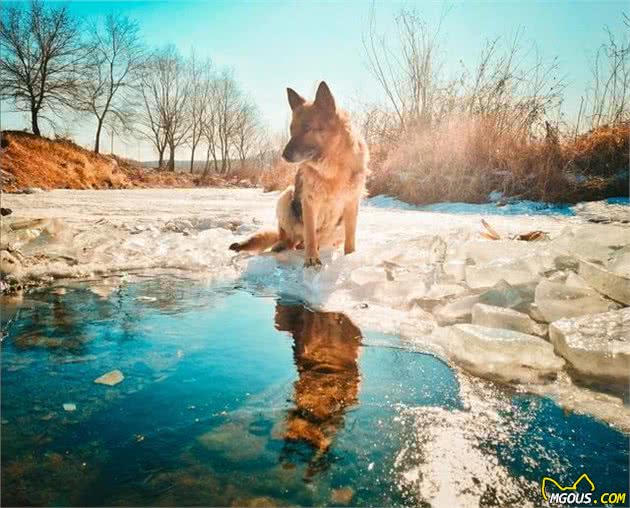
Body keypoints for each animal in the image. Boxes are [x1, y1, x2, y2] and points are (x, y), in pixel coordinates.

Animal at [230, 81, 370, 268]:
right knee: (290, 238)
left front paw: (350, 257)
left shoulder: (352, 203)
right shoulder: (309, 202)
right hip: (285, 195)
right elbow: (310, 234)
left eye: (307, 128)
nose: (283, 156)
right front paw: (311, 260)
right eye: (292, 130)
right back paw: (282, 245)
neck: (332, 169)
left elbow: (350, 237)